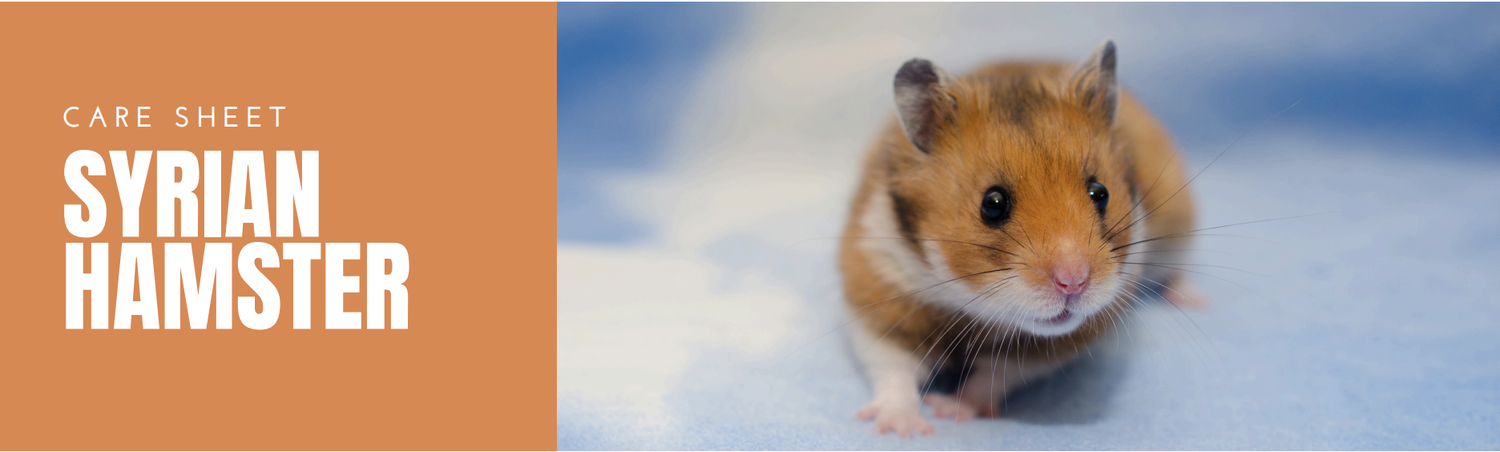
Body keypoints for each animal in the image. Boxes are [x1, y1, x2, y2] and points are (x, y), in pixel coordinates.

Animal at [838, 41, 1204, 437]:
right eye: (992, 203)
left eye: (1100, 193)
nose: (1073, 282)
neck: (971, 305)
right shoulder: (879, 292)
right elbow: (894, 367)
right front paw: (902, 428)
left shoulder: (1050, 346)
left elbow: (993, 376)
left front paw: (950, 410)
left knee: (1177, 271)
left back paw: (1196, 302)